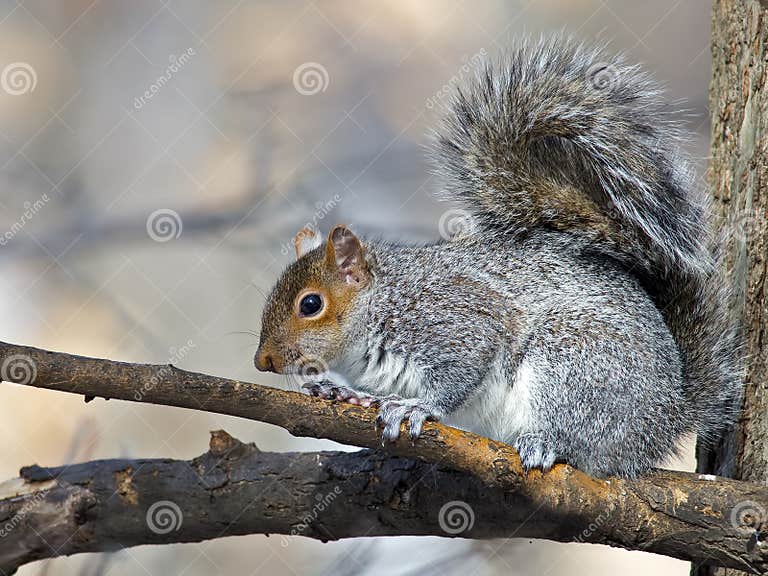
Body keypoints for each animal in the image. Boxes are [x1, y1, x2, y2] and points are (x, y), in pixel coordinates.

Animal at [254, 37, 743, 478]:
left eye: (310, 304)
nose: (263, 362)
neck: (384, 302)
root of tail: (669, 415)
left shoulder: (454, 321)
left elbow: (457, 375)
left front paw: (416, 407)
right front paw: (346, 395)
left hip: (574, 366)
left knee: (584, 443)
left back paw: (545, 443)